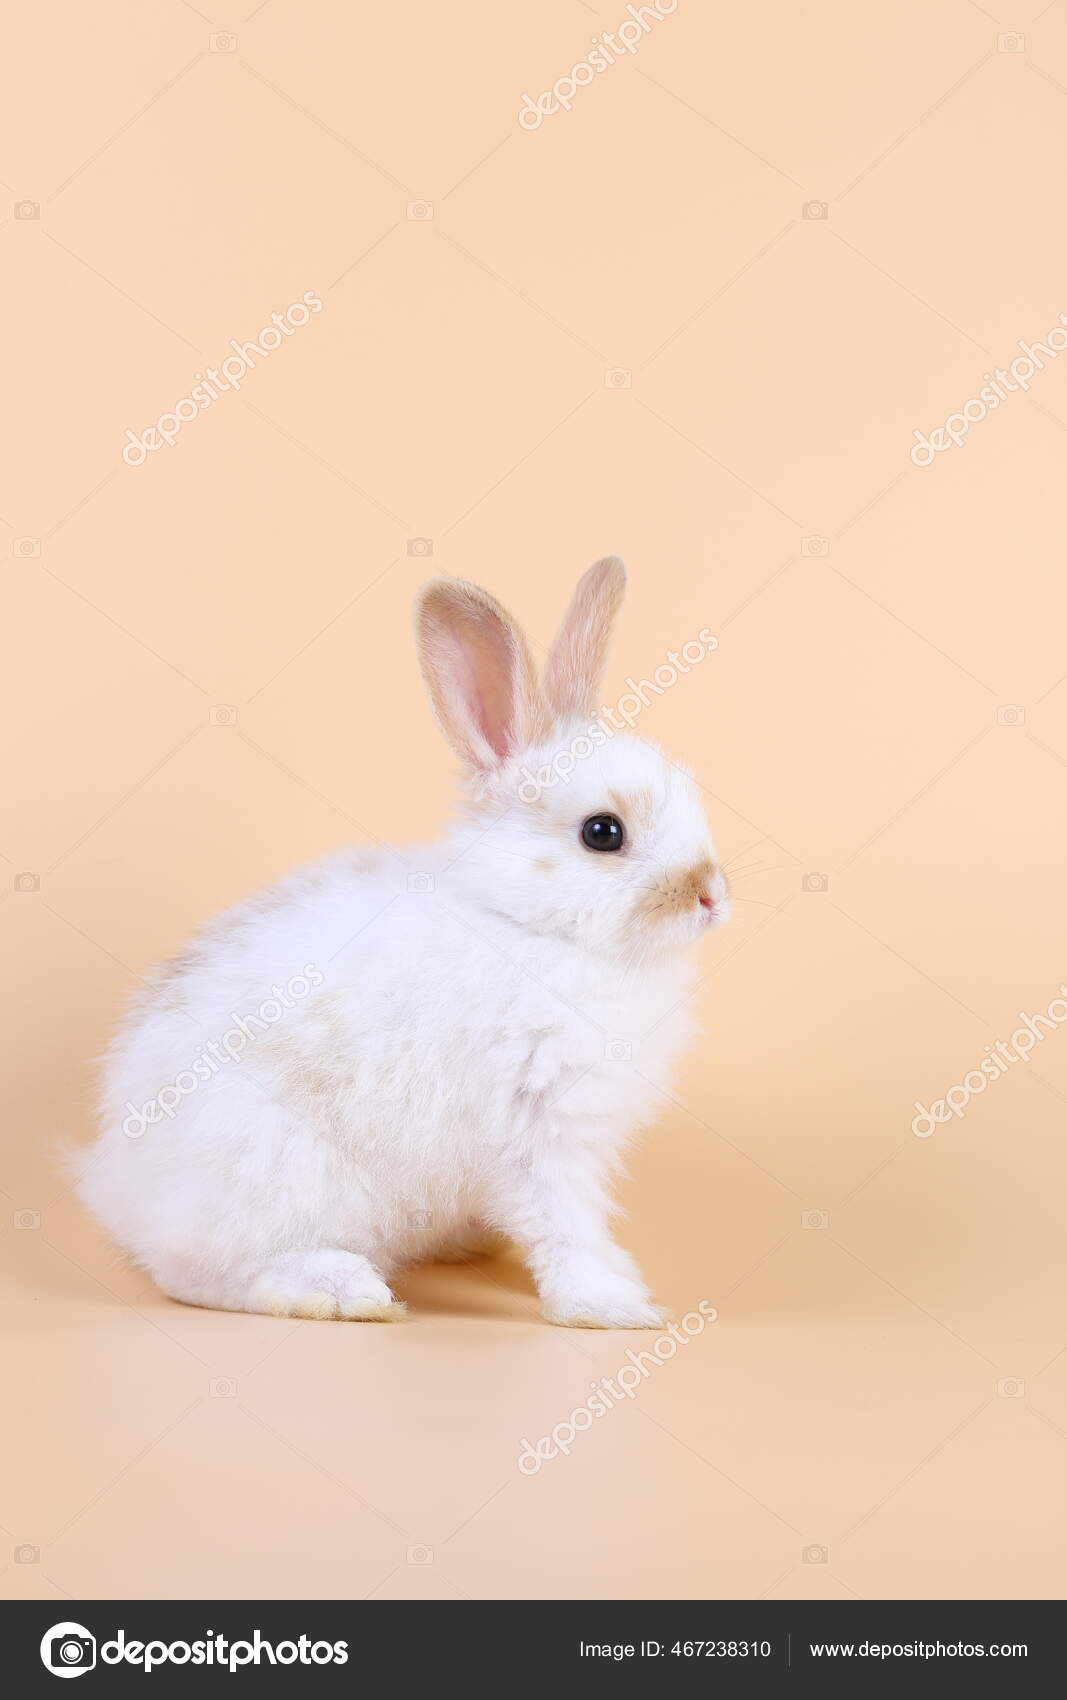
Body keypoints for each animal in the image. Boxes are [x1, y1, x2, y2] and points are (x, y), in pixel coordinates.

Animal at [75, 558, 730, 1327]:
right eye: (603, 833)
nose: (711, 895)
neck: (524, 923)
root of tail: (119, 1190)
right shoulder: (537, 1132)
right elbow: (564, 1225)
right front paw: (612, 1306)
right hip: (280, 1175)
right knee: (199, 1276)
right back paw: (342, 1290)